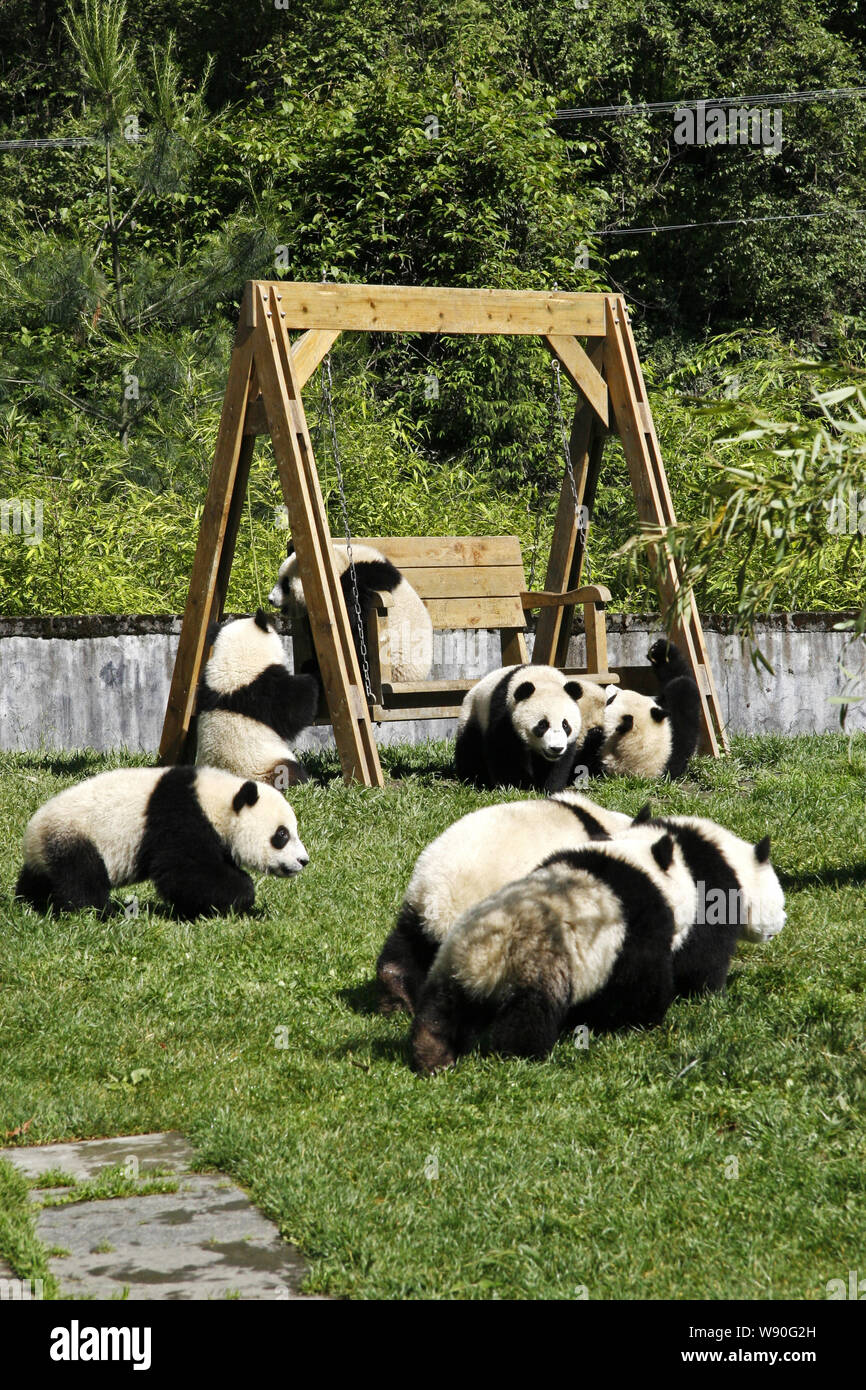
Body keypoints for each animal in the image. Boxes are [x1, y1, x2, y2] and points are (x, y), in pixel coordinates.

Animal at [15, 766, 309, 919]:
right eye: (282, 835)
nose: (303, 861)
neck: (217, 800)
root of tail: (32, 835)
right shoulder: (179, 818)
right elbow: (184, 872)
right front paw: (239, 896)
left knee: (40, 880)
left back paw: (31, 901)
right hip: (76, 835)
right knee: (82, 878)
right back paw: (101, 913)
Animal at [195, 610, 318, 787]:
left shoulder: (205, 686)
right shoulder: (267, 691)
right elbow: (296, 711)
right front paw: (312, 671)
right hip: (268, 765)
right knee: (292, 772)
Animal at [410, 830, 697, 1074]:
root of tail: (482, 958)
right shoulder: (637, 931)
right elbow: (641, 986)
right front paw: (645, 1021)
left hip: (450, 965)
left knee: (439, 1012)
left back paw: (433, 1057)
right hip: (537, 963)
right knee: (528, 1017)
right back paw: (520, 1057)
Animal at [455, 665, 584, 792]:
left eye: (565, 725)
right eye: (542, 725)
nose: (556, 748)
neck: (541, 678)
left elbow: (560, 764)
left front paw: (550, 788)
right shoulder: (503, 714)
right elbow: (503, 751)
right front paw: (514, 786)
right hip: (474, 712)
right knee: (470, 748)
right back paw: (473, 778)